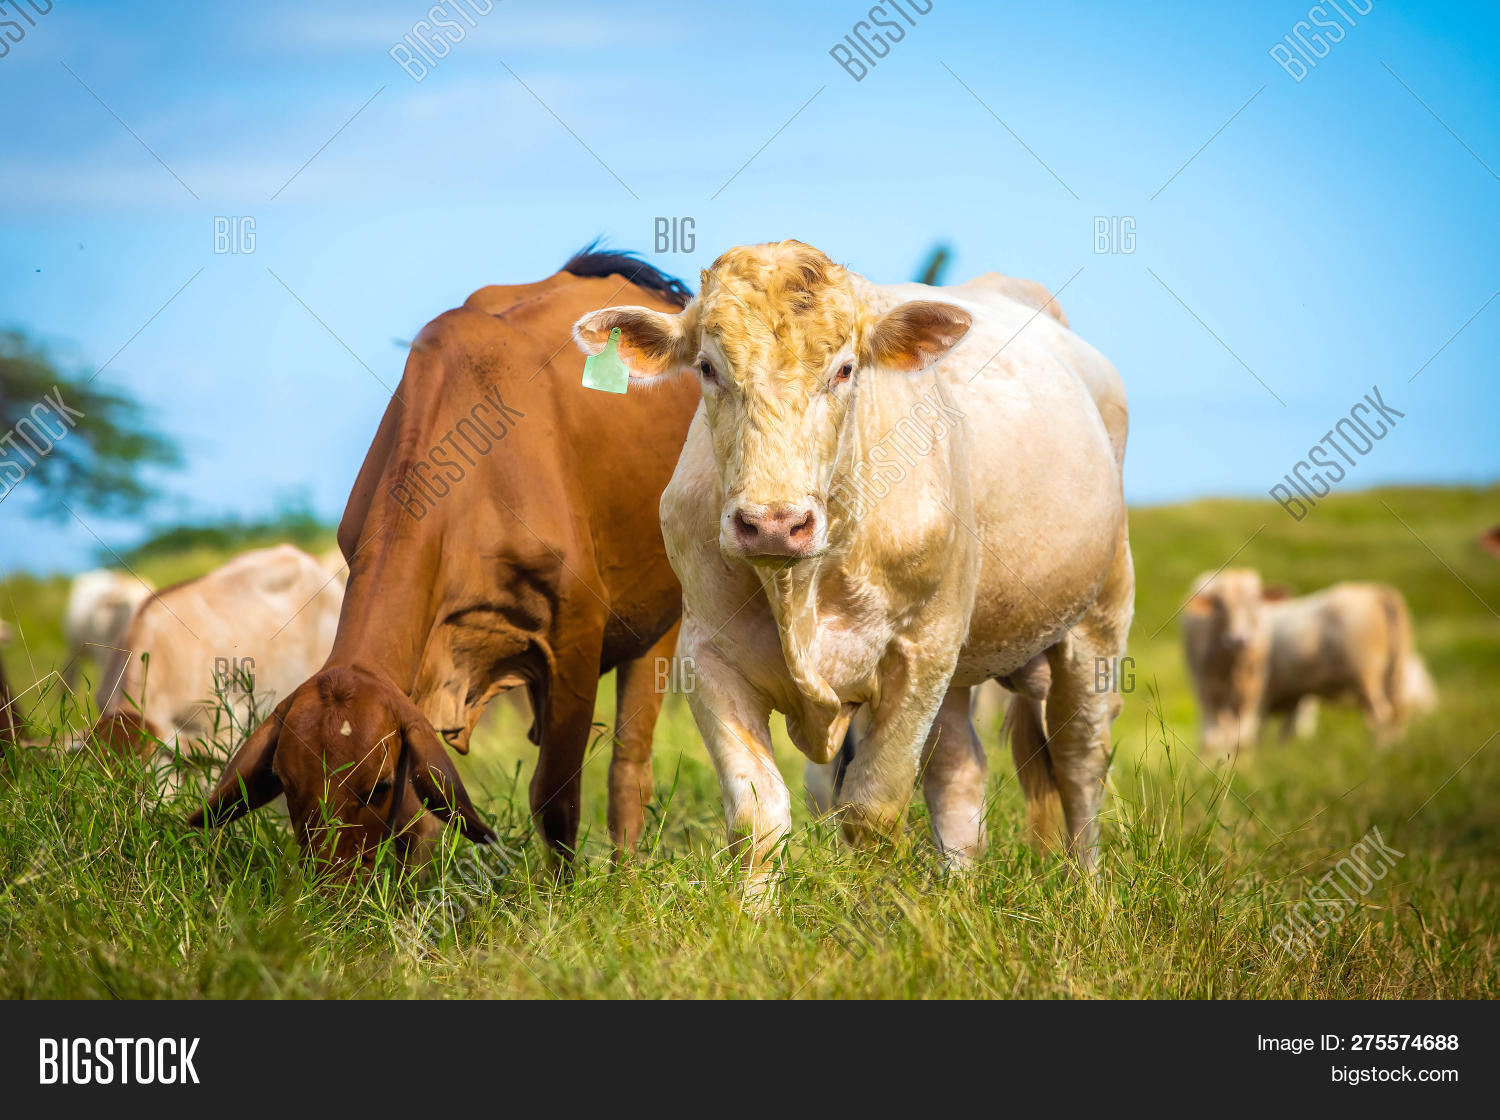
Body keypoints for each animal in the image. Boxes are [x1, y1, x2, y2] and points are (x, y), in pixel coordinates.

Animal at [190, 248, 701, 874]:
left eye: (377, 786)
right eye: (287, 784)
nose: (327, 888)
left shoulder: (576, 637)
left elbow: (555, 801)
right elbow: (422, 817)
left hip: (659, 622)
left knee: (630, 768)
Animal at [574, 240, 1133, 894]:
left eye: (844, 370)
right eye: (708, 368)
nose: (772, 523)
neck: (799, 588)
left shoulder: (919, 654)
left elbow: (871, 812)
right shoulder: (707, 655)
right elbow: (758, 816)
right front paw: (751, 913)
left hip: (1096, 620)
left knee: (1079, 761)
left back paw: (1090, 889)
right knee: (959, 771)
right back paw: (957, 891)